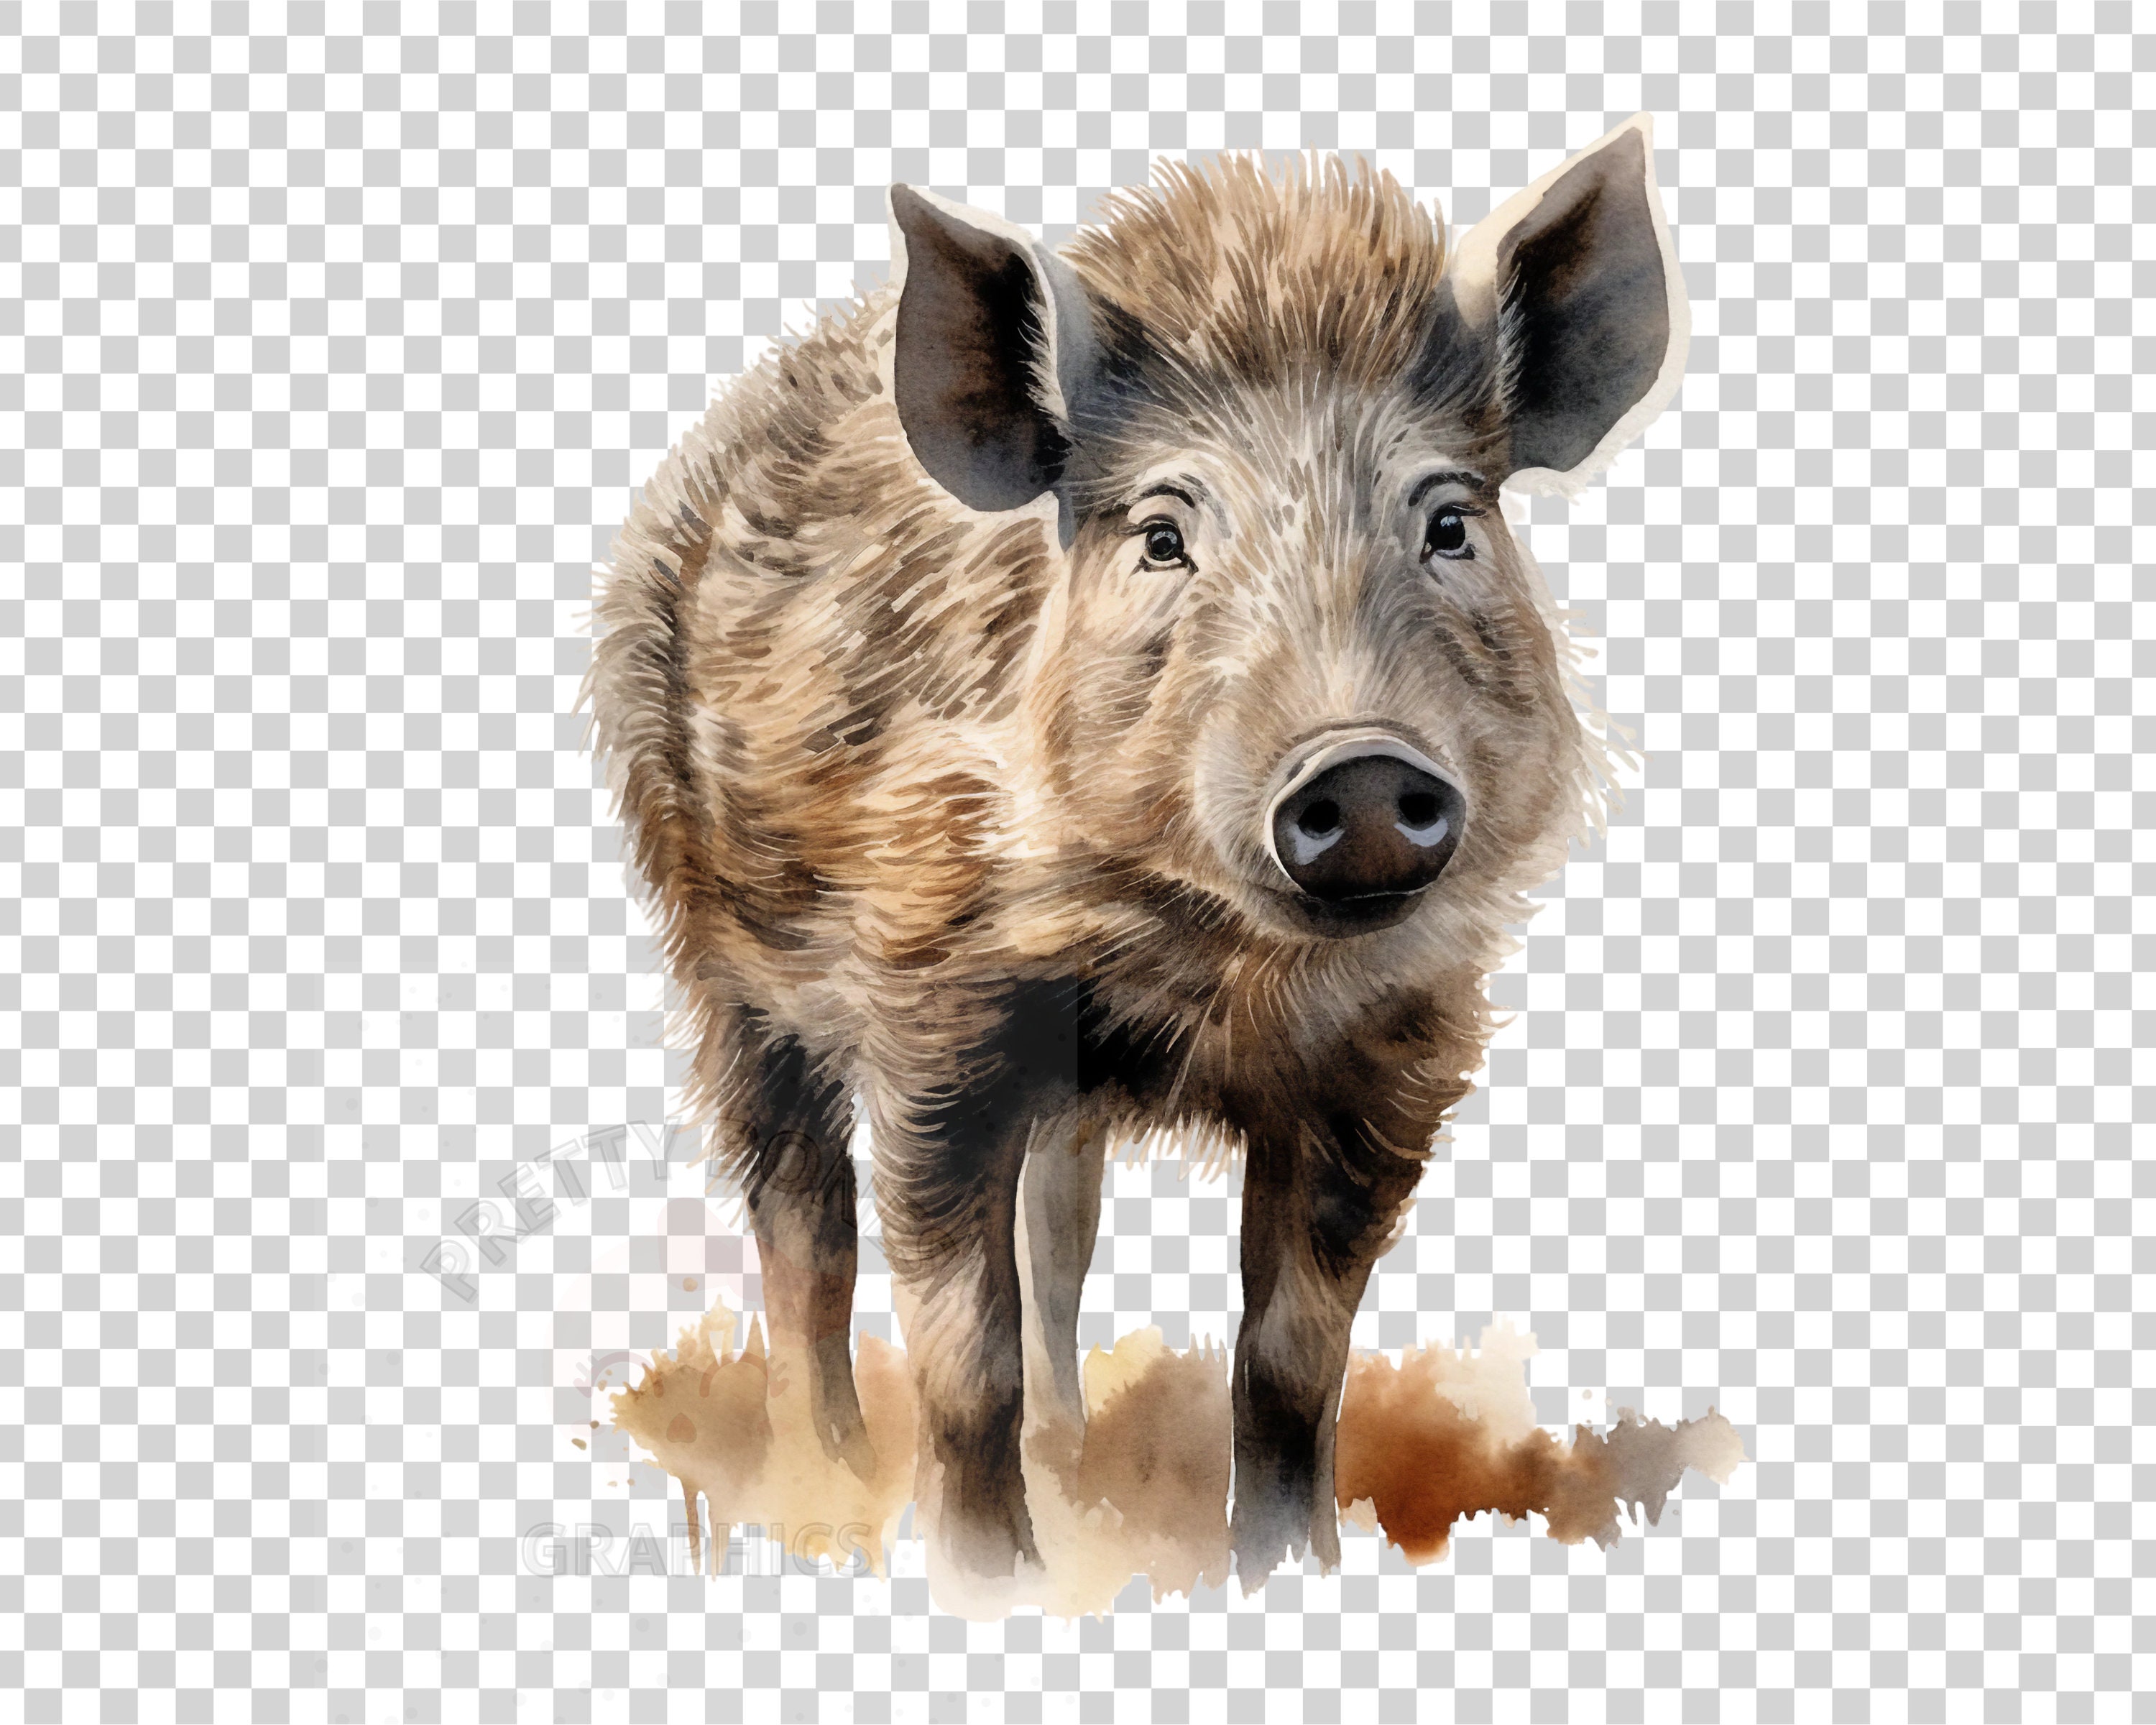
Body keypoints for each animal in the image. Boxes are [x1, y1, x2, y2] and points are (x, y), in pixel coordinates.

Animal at [585, 114, 1688, 1606]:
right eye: (1165, 536)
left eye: (1449, 524)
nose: (1360, 767)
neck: (1210, 974)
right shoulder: (931, 1021)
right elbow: (961, 1353)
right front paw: (989, 1586)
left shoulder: (1395, 1057)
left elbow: (1289, 1362)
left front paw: (1290, 1574)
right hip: (714, 952)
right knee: (801, 1222)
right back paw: (826, 1474)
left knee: (1062, 1222)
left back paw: (1073, 1442)